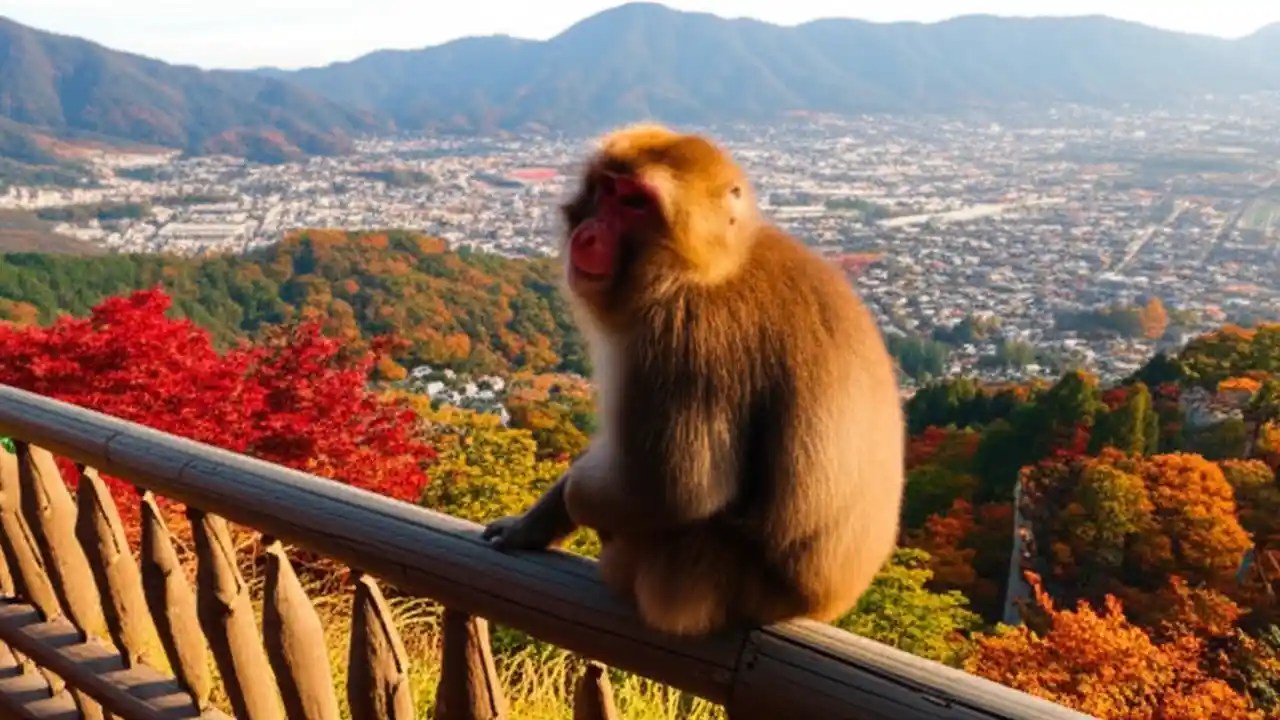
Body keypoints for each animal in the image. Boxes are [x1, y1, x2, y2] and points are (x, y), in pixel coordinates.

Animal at [482, 123, 905, 637]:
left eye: (636, 203)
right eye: (607, 190)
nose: (590, 234)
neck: (709, 264)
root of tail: (825, 603)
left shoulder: (682, 337)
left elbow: (674, 489)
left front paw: (572, 498)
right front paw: (535, 523)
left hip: (695, 578)